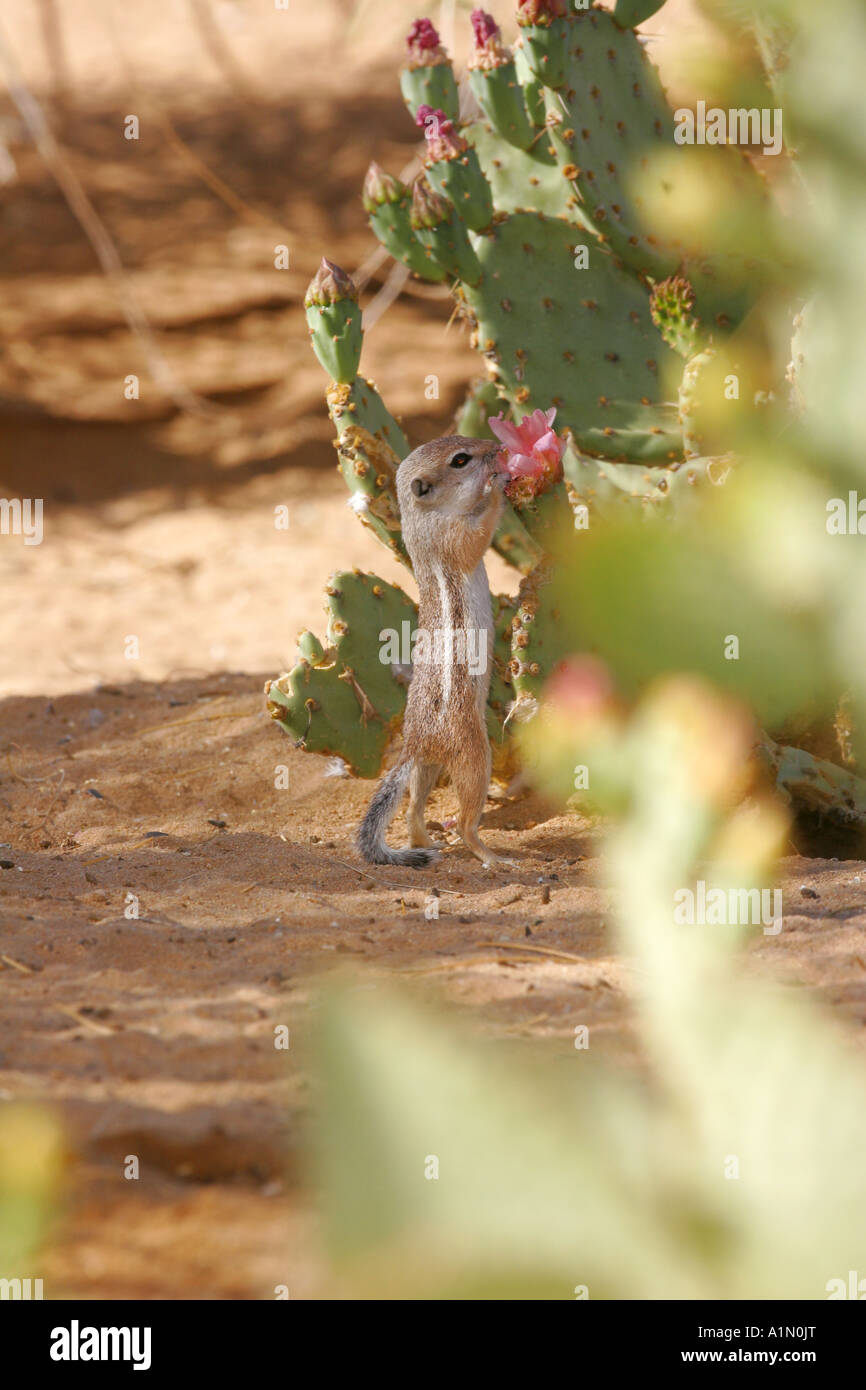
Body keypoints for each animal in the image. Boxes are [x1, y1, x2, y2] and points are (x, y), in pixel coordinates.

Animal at [357, 435, 511, 870]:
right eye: (460, 460)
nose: (497, 448)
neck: (423, 521)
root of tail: (414, 741)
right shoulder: (453, 539)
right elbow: (478, 537)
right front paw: (496, 485)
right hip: (475, 754)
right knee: (465, 823)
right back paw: (491, 856)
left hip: (427, 766)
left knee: (412, 809)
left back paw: (425, 843)